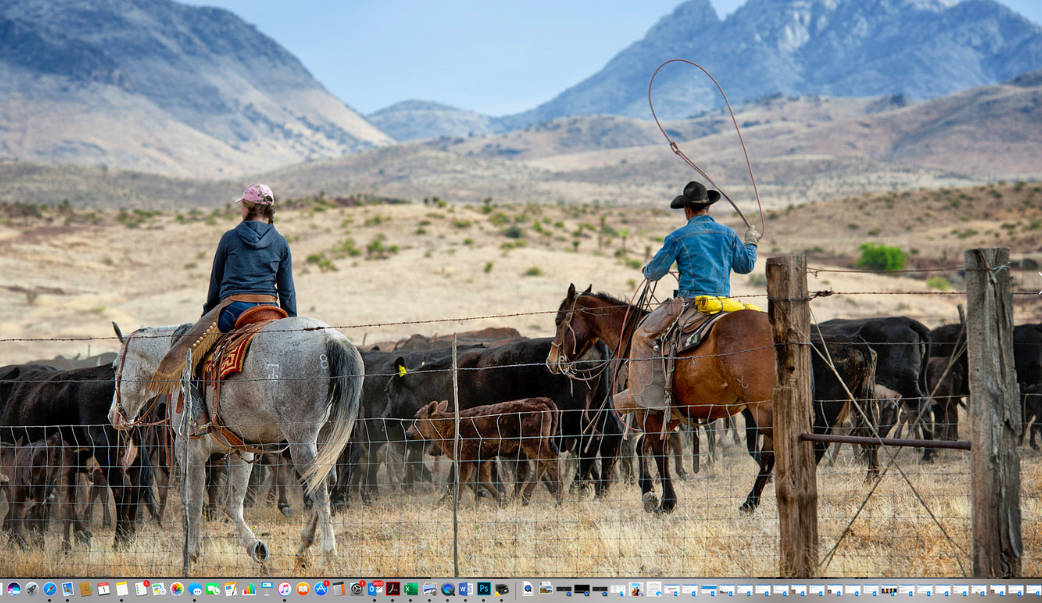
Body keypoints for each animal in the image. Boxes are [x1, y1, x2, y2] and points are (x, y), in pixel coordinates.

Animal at [405, 398, 563, 505]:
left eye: (418, 419)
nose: (408, 433)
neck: (450, 423)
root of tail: (539, 401)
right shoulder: (481, 460)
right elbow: (483, 479)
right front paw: (501, 500)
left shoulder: (466, 459)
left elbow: (461, 480)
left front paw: (456, 504)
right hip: (532, 447)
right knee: (539, 465)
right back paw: (525, 497)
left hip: (534, 444)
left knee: (551, 462)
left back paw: (558, 500)